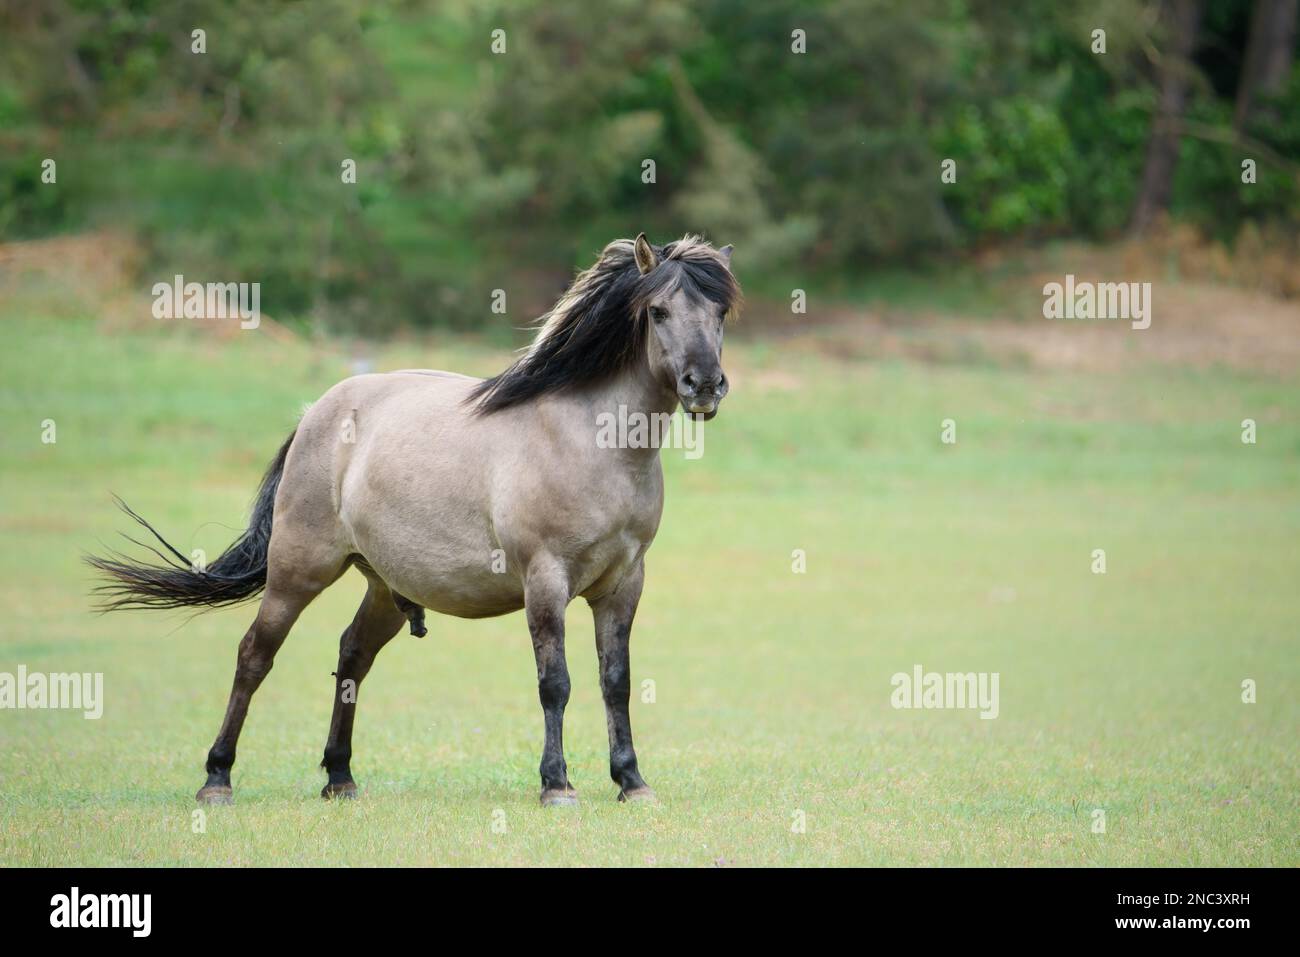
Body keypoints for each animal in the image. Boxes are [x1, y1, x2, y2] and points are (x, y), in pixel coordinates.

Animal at [88, 233, 740, 807]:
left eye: (720, 312)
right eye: (657, 311)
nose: (704, 385)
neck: (588, 441)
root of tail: (317, 412)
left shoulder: (623, 584)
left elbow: (616, 681)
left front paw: (632, 781)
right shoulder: (545, 580)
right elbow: (555, 683)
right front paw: (557, 785)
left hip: (384, 584)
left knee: (353, 655)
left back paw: (340, 777)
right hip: (298, 570)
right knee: (255, 655)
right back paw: (217, 778)